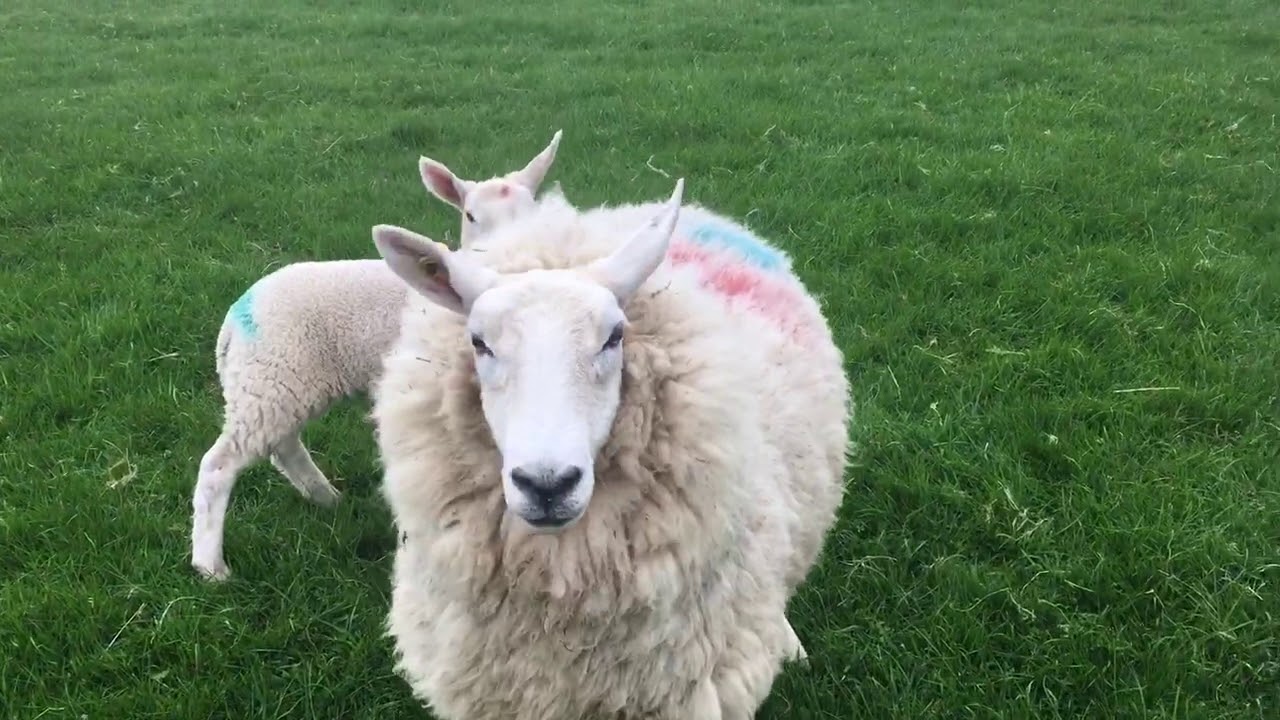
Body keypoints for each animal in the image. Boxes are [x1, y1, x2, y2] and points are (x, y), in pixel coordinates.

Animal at [189, 130, 564, 582]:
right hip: (273, 377)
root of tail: (234, 320)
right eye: (471, 216)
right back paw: (210, 566)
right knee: (219, 466)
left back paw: (326, 497)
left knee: (284, 446)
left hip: (279, 384)